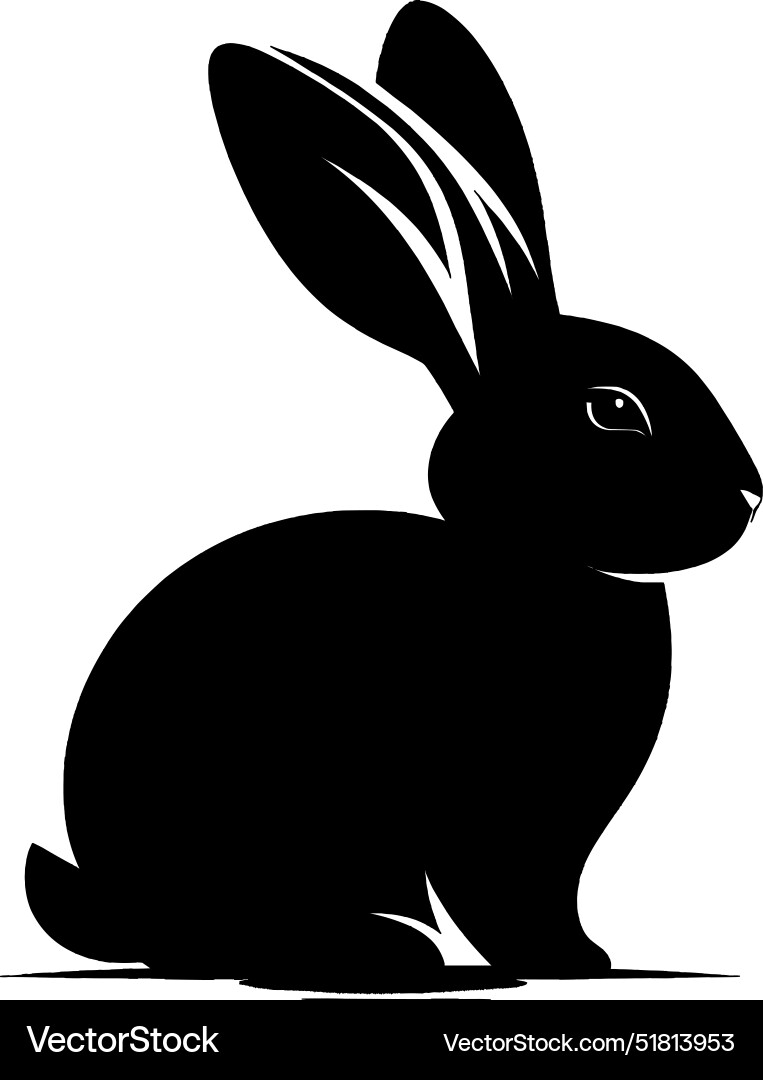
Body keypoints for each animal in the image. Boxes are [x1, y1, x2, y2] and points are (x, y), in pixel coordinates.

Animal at [25, 2, 760, 991]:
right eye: (613, 410)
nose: (751, 495)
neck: (529, 561)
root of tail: (138, 917)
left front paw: (583, 959)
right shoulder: (497, 809)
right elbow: (504, 890)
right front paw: (569, 961)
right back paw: (388, 953)